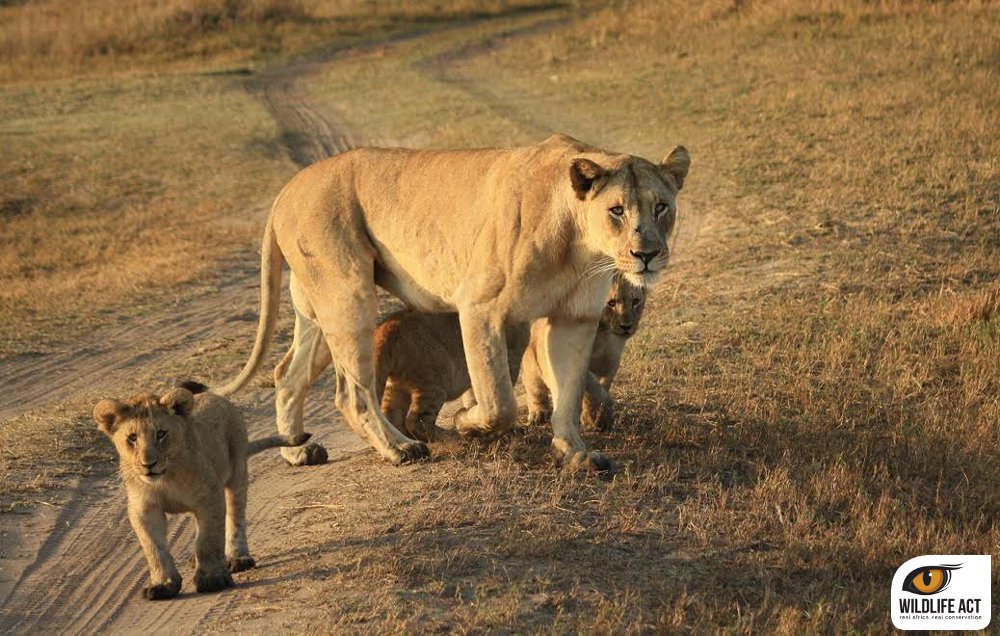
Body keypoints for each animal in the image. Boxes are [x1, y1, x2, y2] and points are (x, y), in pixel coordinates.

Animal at [93, 382, 310, 600]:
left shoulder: (209, 497)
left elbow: (207, 540)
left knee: (235, 517)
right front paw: (162, 585)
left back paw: (237, 558)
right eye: (132, 438)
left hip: (237, 471)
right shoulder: (144, 509)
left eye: (161, 434)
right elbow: (154, 548)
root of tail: (215, 395)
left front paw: (212, 579)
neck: (166, 478)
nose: (148, 464)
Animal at [374, 311, 529, 442]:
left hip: (396, 386)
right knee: (416, 420)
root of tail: (390, 325)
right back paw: (444, 438)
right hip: (433, 383)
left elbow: (475, 399)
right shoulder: (510, 361)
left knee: (391, 416)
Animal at [522, 274, 647, 431]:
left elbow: (601, 388)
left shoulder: (611, 365)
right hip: (532, 364)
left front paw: (599, 417)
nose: (627, 326)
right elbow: (592, 389)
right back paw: (539, 413)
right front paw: (593, 419)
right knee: (535, 390)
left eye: (635, 301)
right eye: (611, 303)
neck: (604, 335)